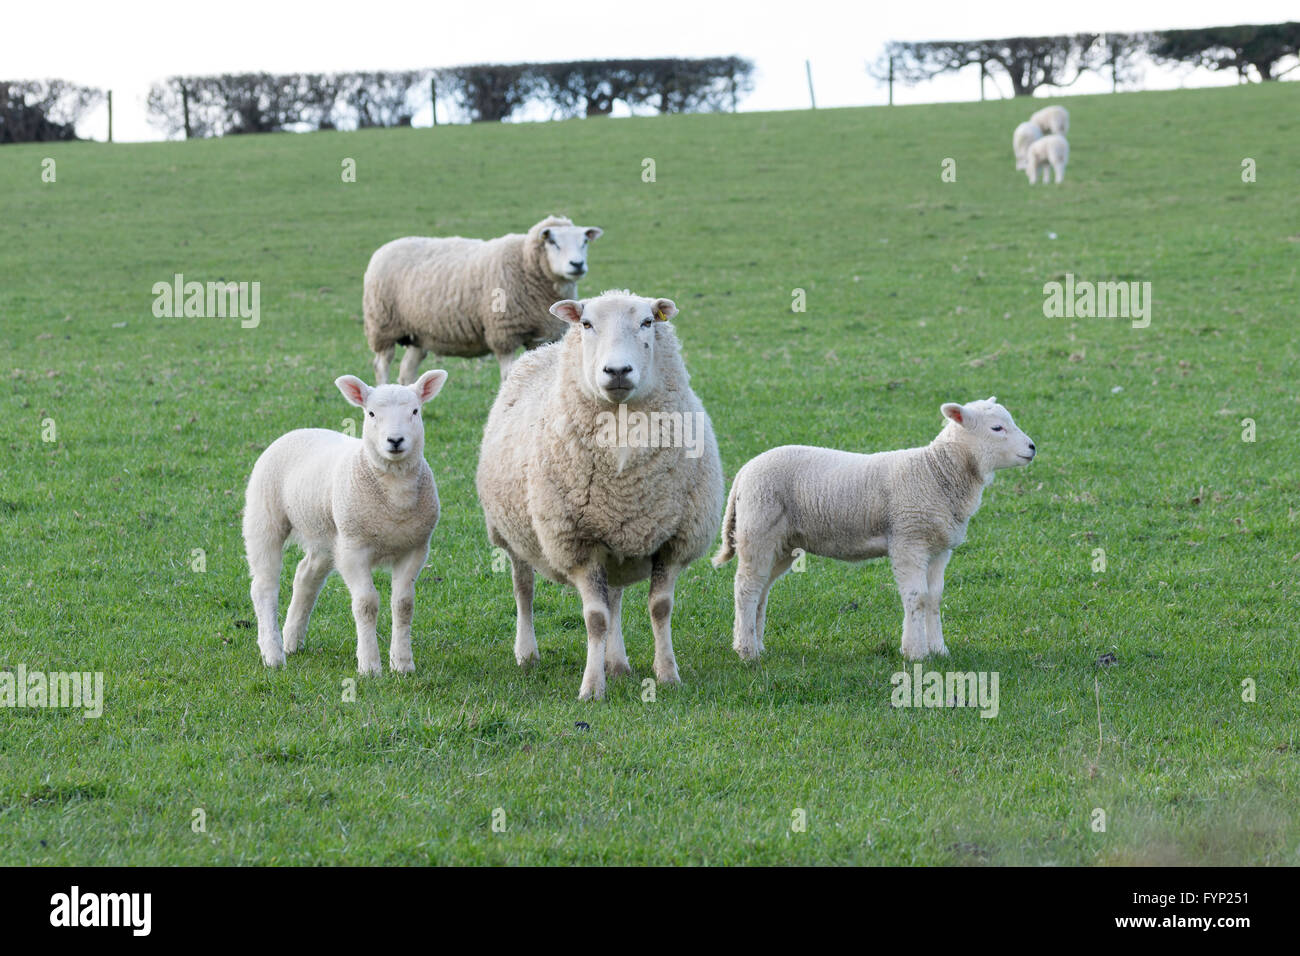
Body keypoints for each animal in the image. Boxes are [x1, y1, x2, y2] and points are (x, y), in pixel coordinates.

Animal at [243, 369, 448, 675]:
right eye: (371, 413)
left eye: (415, 411)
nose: (395, 440)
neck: (394, 498)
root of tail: (299, 430)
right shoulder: (354, 550)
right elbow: (366, 604)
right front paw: (370, 665)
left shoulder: (415, 548)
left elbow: (403, 605)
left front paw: (402, 663)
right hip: (264, 519)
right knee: (264, 587)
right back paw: (273, 654)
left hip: (329, 534)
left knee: (306, 576)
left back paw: (292, 640)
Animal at [363, 215, 603, 385]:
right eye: (552, 242)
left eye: (584, 242)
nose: (577, 264)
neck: (525, 264)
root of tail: (385, 247)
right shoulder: (504, 334)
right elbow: (508, 375)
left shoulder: (542, 336)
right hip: (383, 326)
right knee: (381, 365)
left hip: (419, 333)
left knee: (407, 371)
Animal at [476, 290, 724, 700]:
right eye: (587, 323)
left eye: (647, 322)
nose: (618, 371)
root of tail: (543, 350)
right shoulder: (579, 543)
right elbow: (594, 618)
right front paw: (592, 688)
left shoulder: (672, 541)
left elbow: (660, 608)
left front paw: (667, 674)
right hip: (512, 534)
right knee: (524, 590)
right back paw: (527, 653)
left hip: (618, 540)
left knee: (615, 598)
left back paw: (618, 662)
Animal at [713, 398, 1035, 662]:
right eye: (997, 428)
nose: (1033, 447)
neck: (936, 473)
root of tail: (744, 472)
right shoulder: (909, 539)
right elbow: (916, 596)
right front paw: (915, 653)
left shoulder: (939, 548)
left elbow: (933, 598)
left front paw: (939, 649)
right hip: (758, 531)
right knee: (746, 587)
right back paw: (747, 651)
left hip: (782, 543)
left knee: (762, 589)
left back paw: (755, 643)